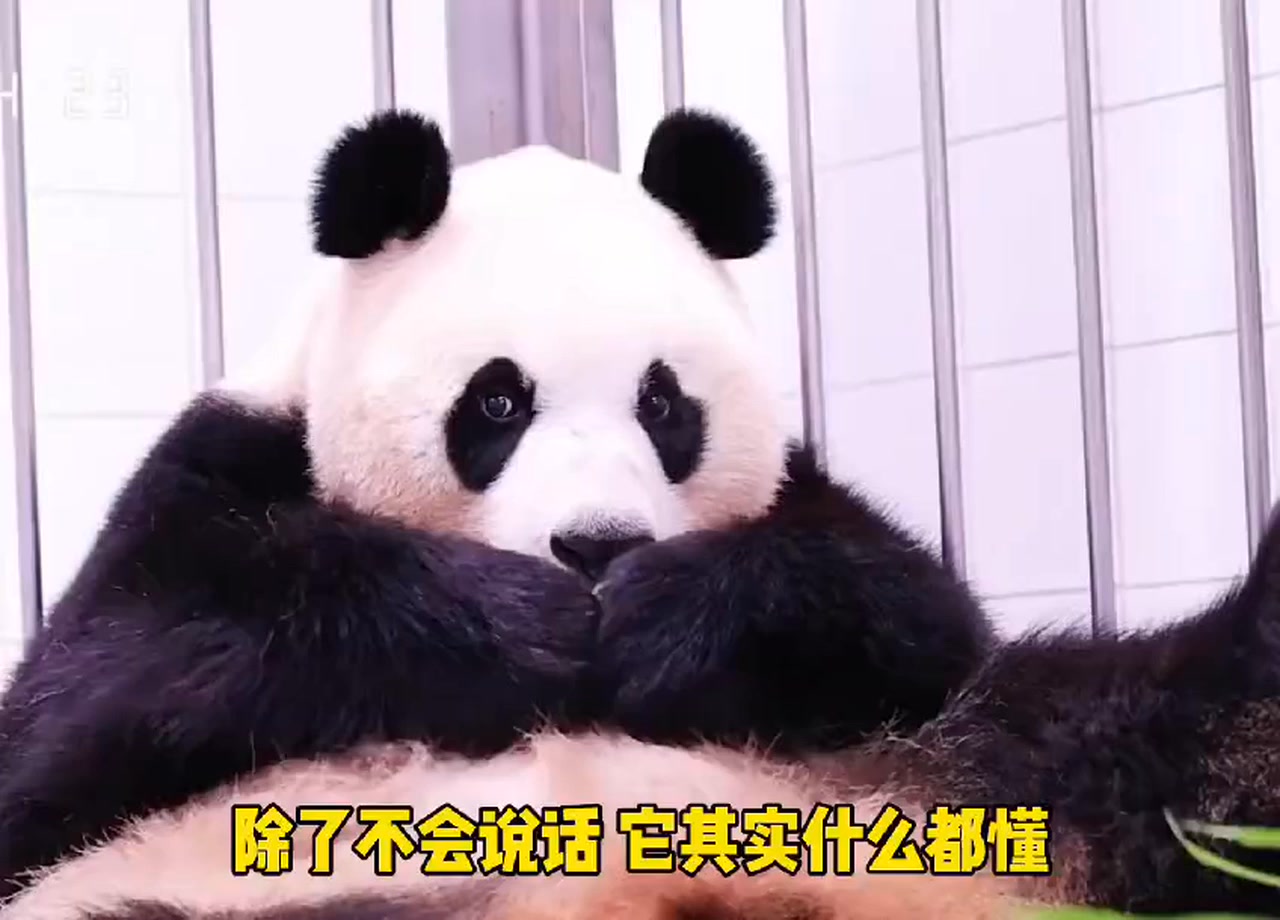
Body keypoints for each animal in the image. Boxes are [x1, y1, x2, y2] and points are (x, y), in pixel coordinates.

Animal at [1, 107, 1278, 920]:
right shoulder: (208, 479)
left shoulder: (823, 526)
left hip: (951, 779)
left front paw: (669, 618)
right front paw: (511, 622)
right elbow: (90, 707)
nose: (597, 545)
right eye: (496, 400)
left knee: (1156, 735)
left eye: (663, 403)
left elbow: (908, 613)